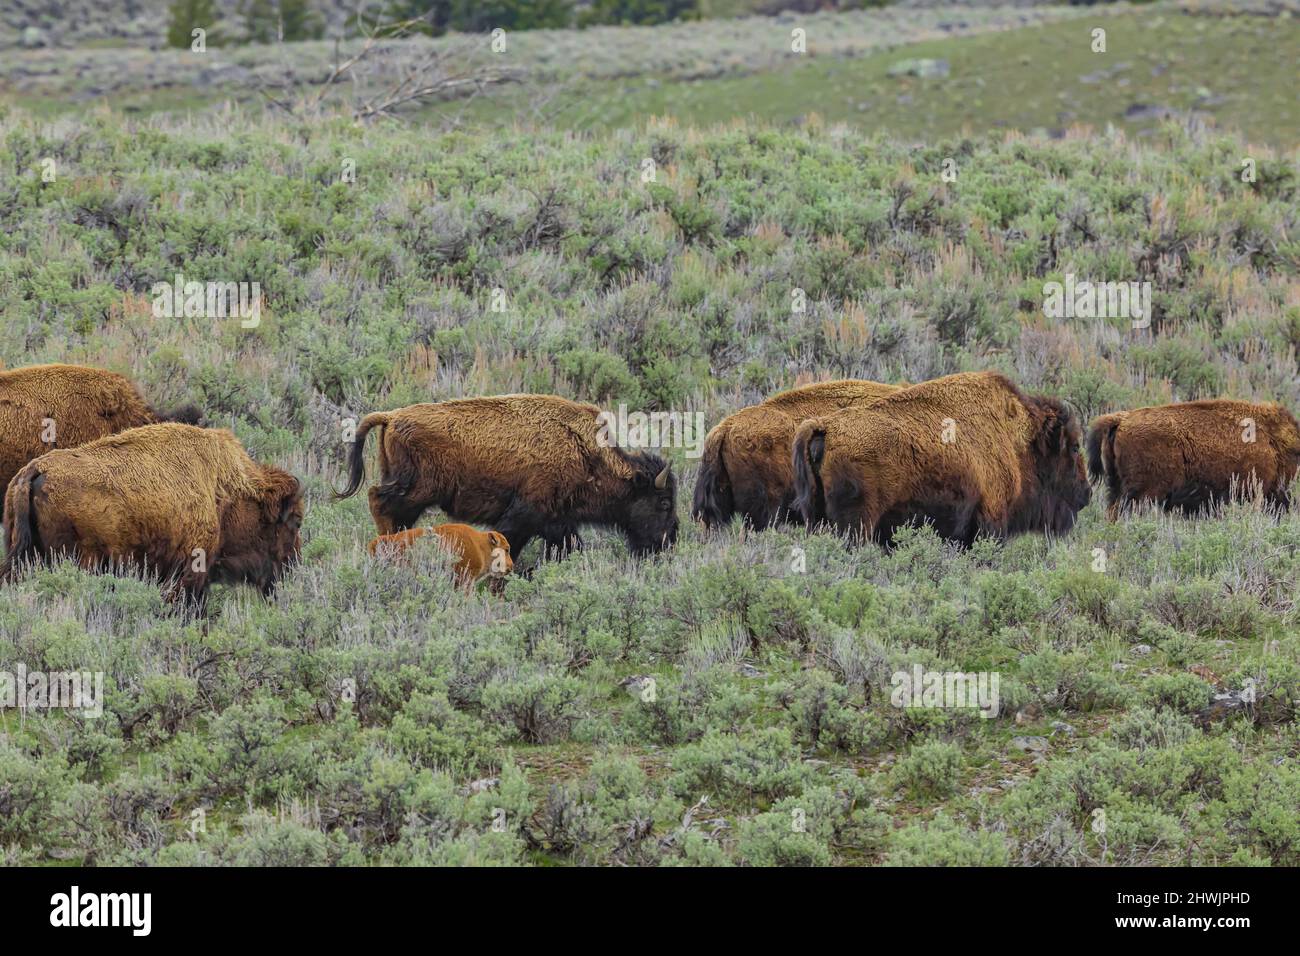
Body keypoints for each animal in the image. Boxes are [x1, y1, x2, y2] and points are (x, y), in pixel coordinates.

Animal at [337, 394, 678, 560]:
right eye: (663, 502)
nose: (669, 541)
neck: (585, 451)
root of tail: (392, 417)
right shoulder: (526, 513)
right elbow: (509, 541)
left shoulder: (557, 521)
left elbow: (568, 545)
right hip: (416, 489)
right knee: (379, 501)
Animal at [792, 371, 1090, 545]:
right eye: (1075, 447)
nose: (1086, 493)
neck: (1017, 439)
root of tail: (825, 427)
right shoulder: (990, 523)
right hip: (856, 525)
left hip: (816, 519)